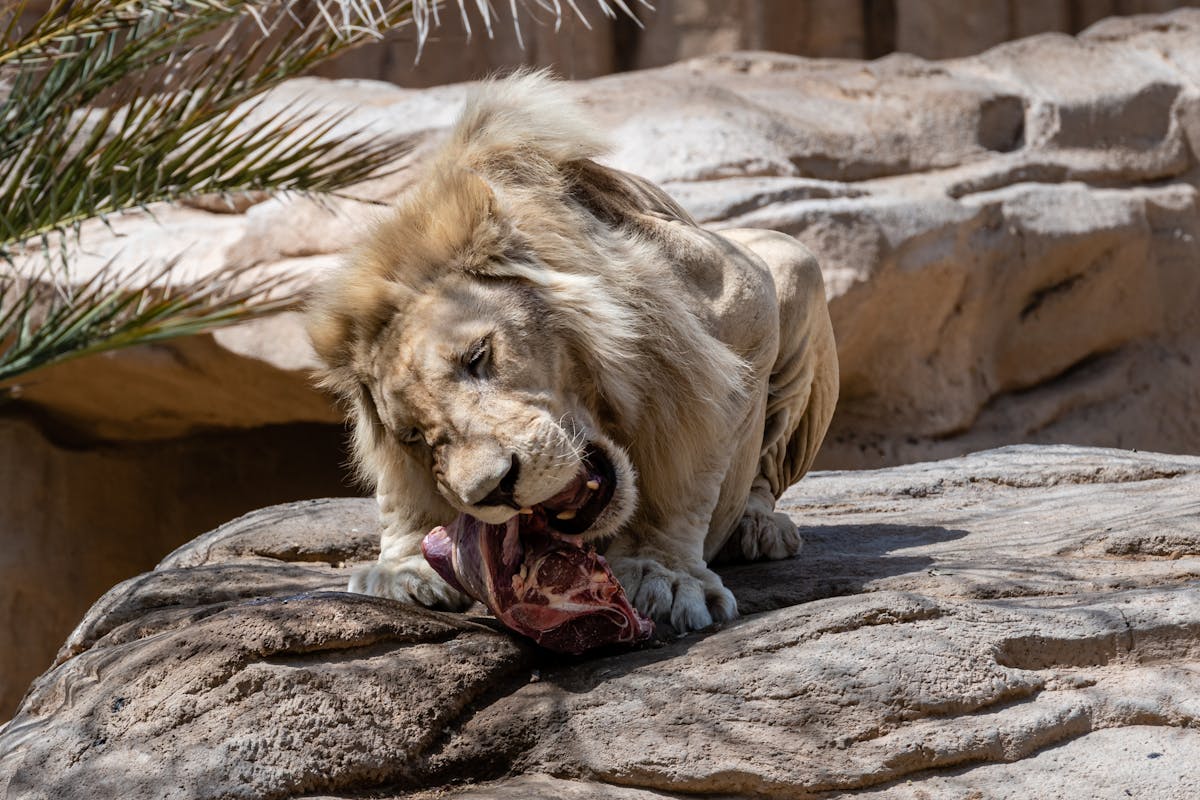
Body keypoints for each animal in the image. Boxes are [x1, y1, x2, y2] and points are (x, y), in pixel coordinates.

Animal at [306, 72, 838, 634]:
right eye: (412, 434)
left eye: (478, 356)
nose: (492, 490)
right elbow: (397, 491)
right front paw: (401, 567)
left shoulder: (741, 297)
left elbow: (687, 467)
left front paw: (663, 573)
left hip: (796, 263)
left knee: (766, 469)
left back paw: (757, 526)